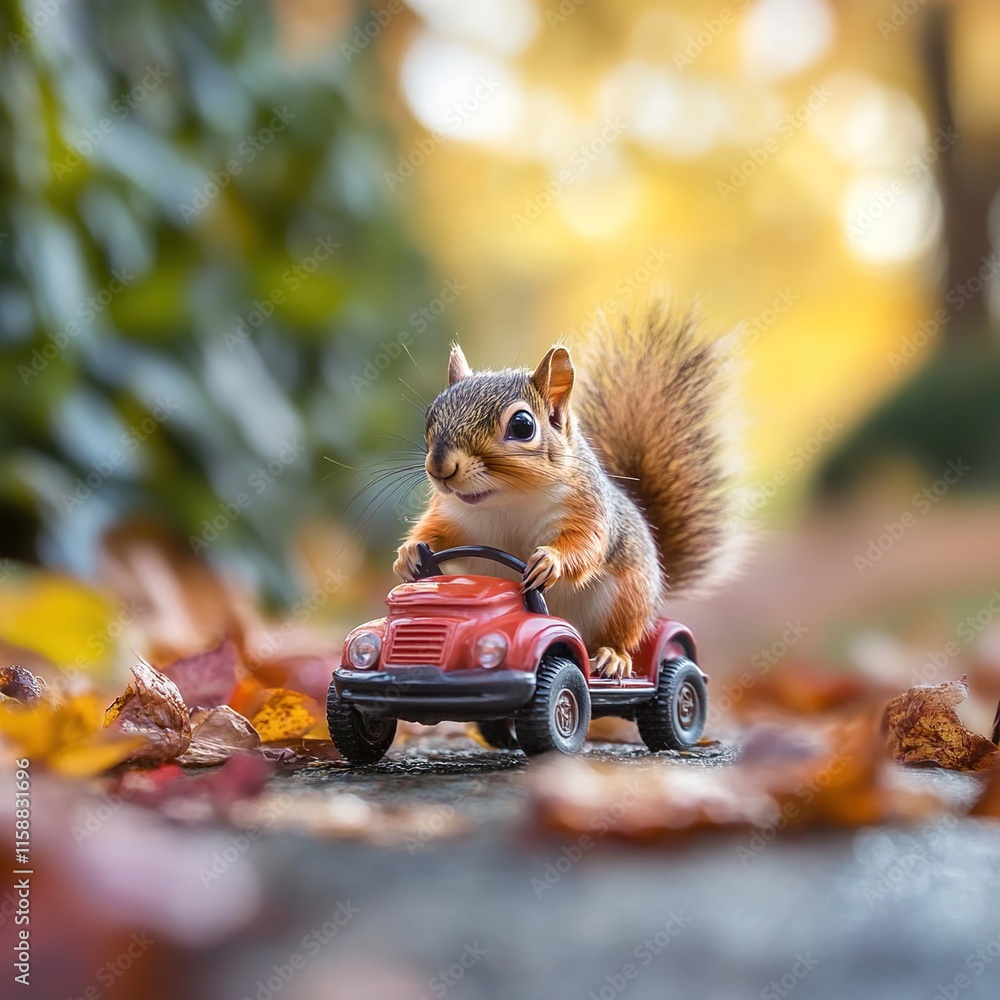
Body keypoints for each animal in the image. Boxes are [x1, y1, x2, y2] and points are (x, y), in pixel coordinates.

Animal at [393, 305, 746, 679]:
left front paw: (550, 561)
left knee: (624, 637)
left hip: (627, 597)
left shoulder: (586, 507)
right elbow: (434, 533)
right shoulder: (452, 514)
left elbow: (587, 543)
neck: (507, 500)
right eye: (431, 414)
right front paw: (408, 554)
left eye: (522, 426)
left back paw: (613, 656)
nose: (440, 468)